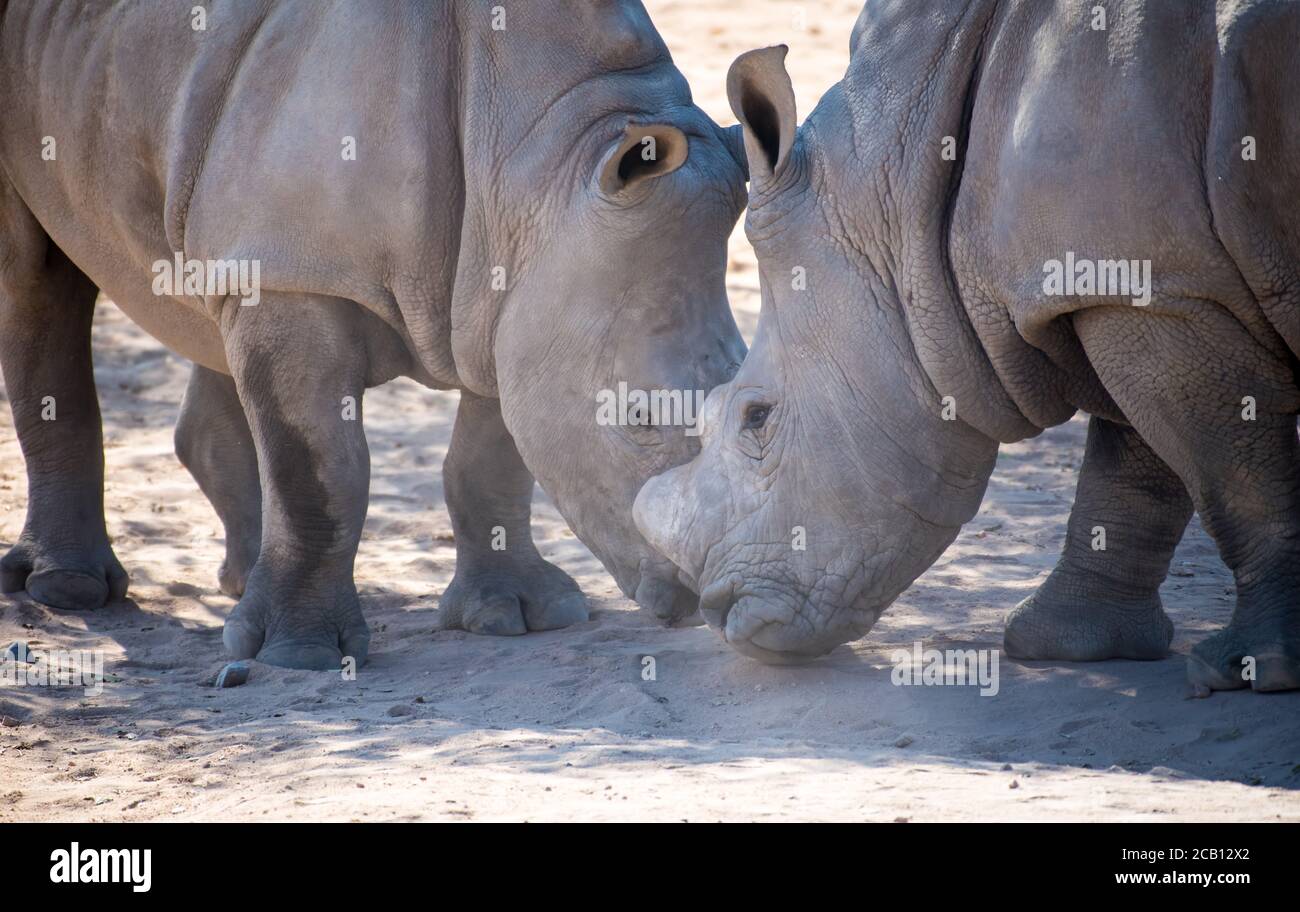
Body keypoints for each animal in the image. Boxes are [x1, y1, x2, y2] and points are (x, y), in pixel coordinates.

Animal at [0, 0, 747, 669]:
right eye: (639, 417)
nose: (698, 601)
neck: (545, 154)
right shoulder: (302, 277)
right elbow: (321, 471)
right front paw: (299, 656)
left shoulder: (510, 297)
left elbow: (492, 461)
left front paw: (524, 617)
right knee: (37, 276)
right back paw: (71, 591)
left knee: (211, 287)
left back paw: (239, 586)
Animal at [635, 0, 1300, 694]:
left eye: (756, 418)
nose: (717, 616)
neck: (898, 197)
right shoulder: (1131, 287)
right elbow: (1137, 465)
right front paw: (1065, 645)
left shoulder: (1152, 286)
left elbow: (1232, 478)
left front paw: (1254, 669)